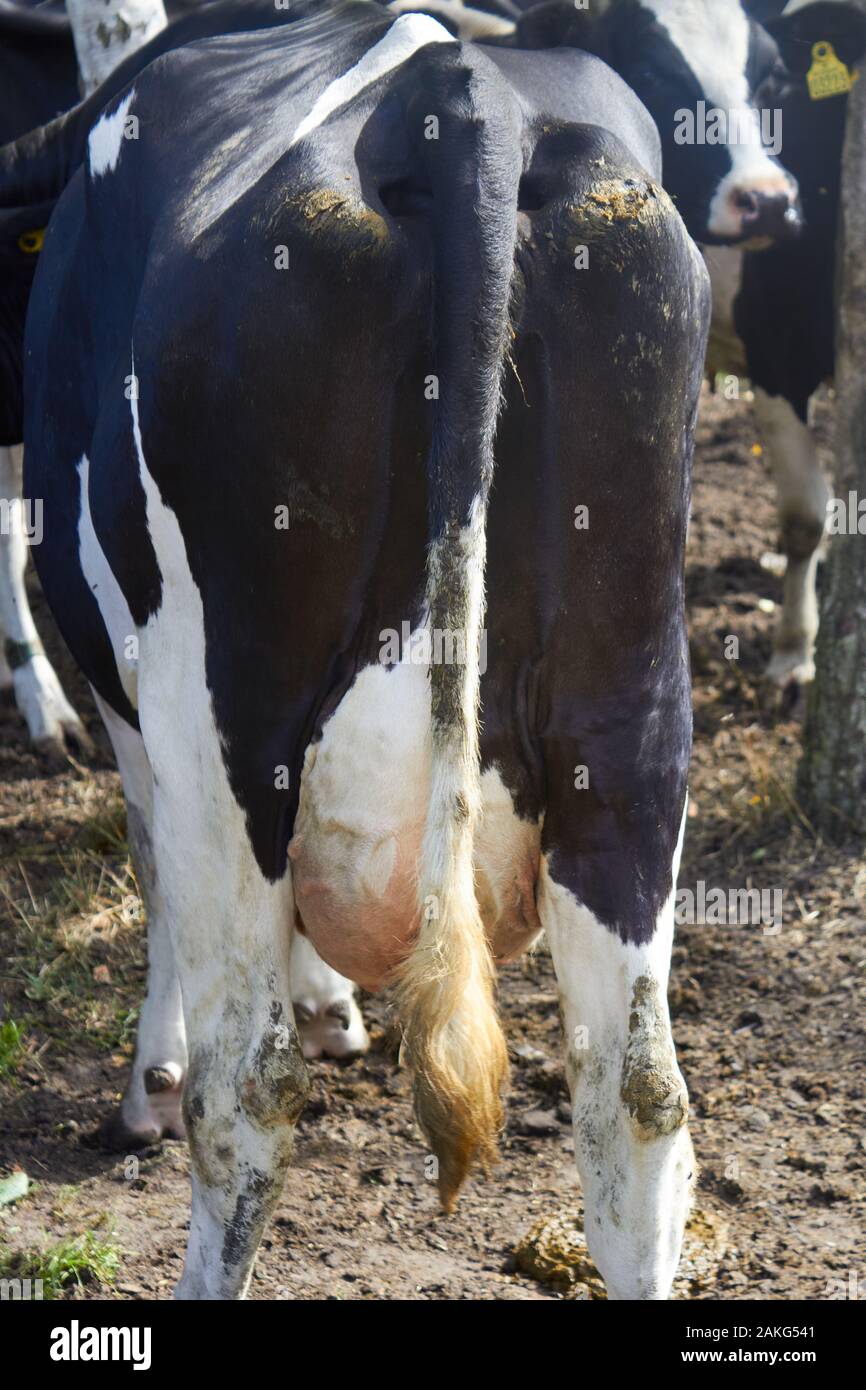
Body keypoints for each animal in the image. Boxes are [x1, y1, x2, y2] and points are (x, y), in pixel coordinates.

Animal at [3, 0, 709, 1297]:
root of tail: (456, 92)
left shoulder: (142, 708)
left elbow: (153, 870)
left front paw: (154, 1078)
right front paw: (332, 1001)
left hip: (228, 709)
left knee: (245, 1095)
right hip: (629, 721)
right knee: (633, 1098)